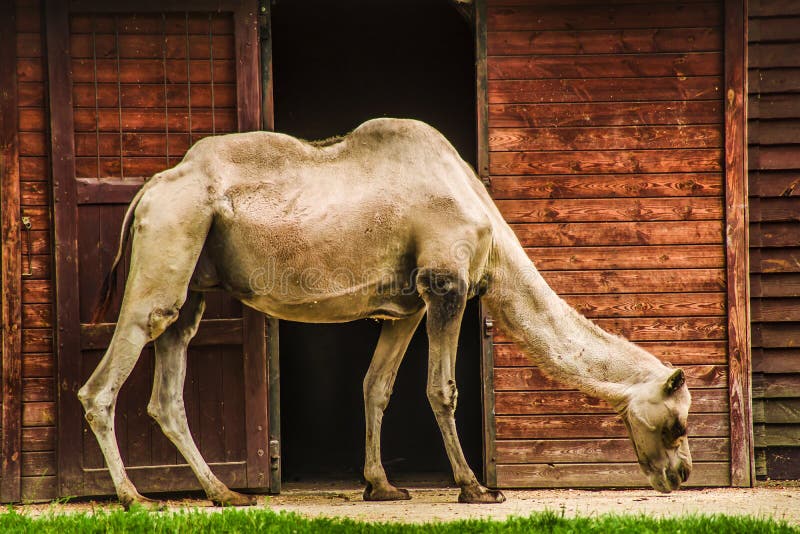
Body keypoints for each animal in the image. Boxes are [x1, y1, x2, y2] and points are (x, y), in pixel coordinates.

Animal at [80, 118, 692, 508]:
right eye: (676, 422)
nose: (683, 474)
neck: (491, 237)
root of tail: (150, 189)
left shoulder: (406, 306)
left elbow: (377, 385)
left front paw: (382, 486)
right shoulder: (446, 281)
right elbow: (441, 389)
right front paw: (476, 488)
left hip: (193, 278)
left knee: (169, 383)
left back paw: (224, 494)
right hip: (170, 237)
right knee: (108, 376)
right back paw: (135, 500)